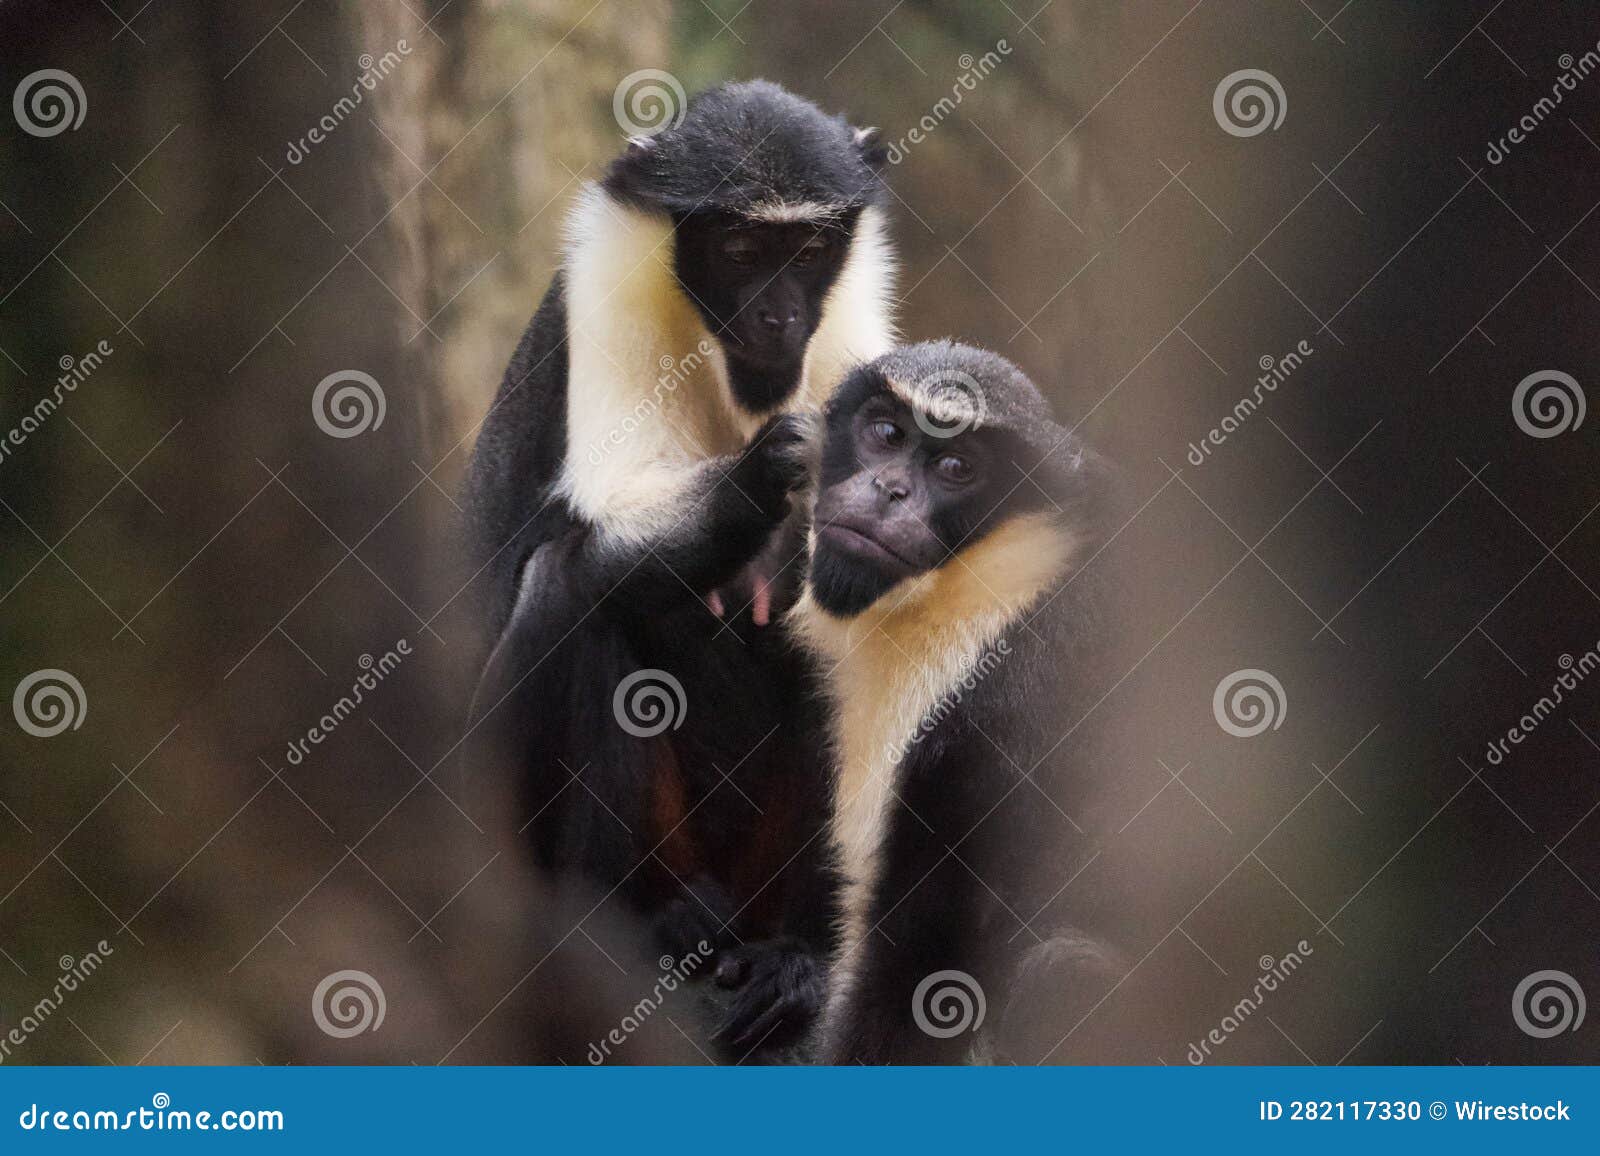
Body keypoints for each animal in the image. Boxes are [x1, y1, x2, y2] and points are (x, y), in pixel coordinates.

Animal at [460, 80, 896, 1054]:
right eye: (738, 251)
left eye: (809, 251)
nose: (778, 319)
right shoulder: (604, 281)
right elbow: (600, 524)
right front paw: (771, 474)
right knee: (567, 586)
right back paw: (638, 921)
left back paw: (798, 961)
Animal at [785, 341, 1126, 1064]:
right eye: (887, 434)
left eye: (956, 468)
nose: (889, 490)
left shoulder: (997, 723)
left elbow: (921, 981)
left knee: (1063, 969)